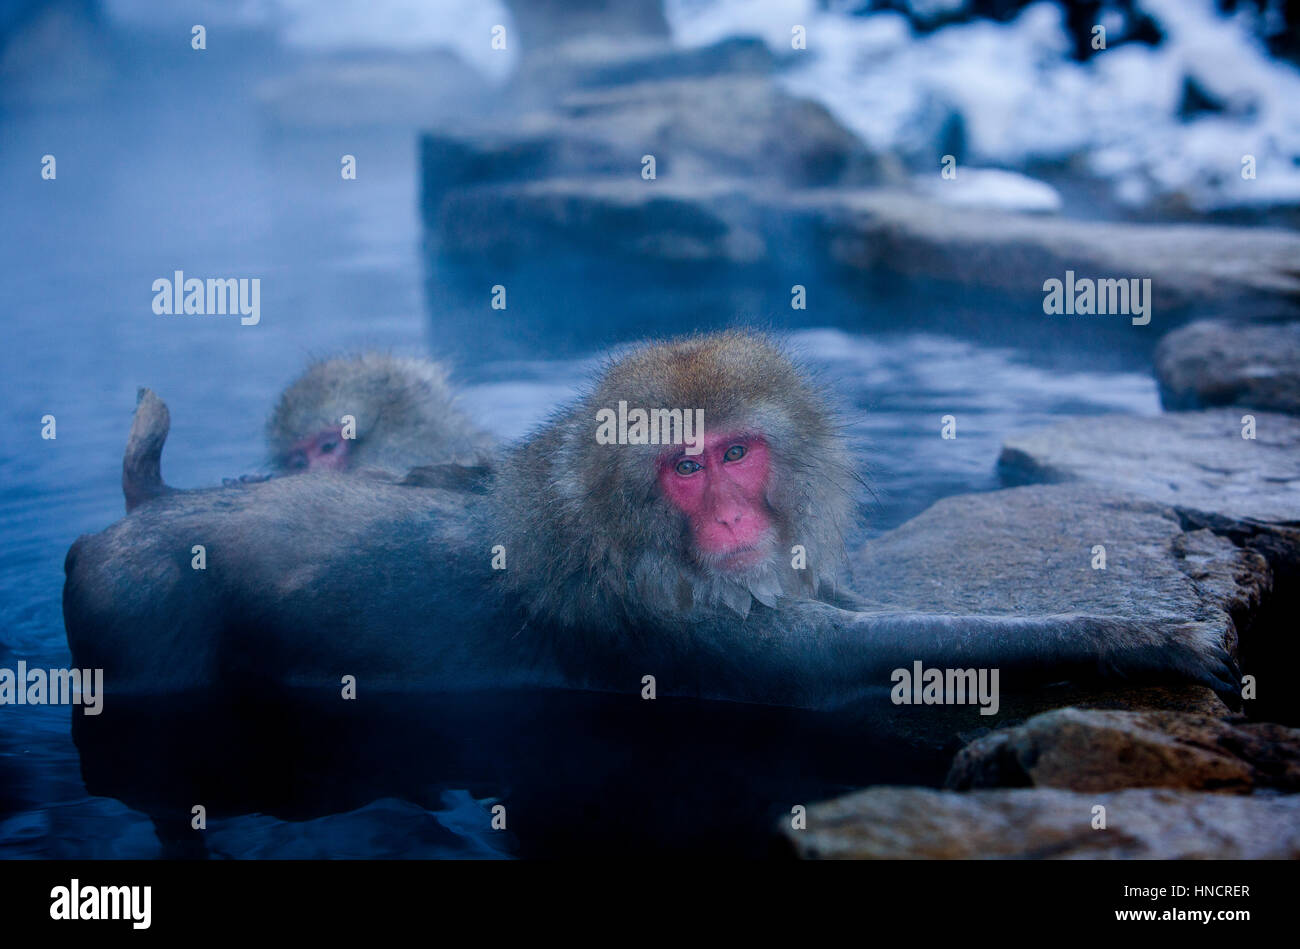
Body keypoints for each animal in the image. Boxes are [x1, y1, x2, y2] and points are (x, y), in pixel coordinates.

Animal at [68, 331, 1238, 708]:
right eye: (682, 467)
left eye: (737, 454)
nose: (729, 521)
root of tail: (147, 505)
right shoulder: (673, 629)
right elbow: (863, 660)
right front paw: (1127, 636)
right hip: (135, 613)